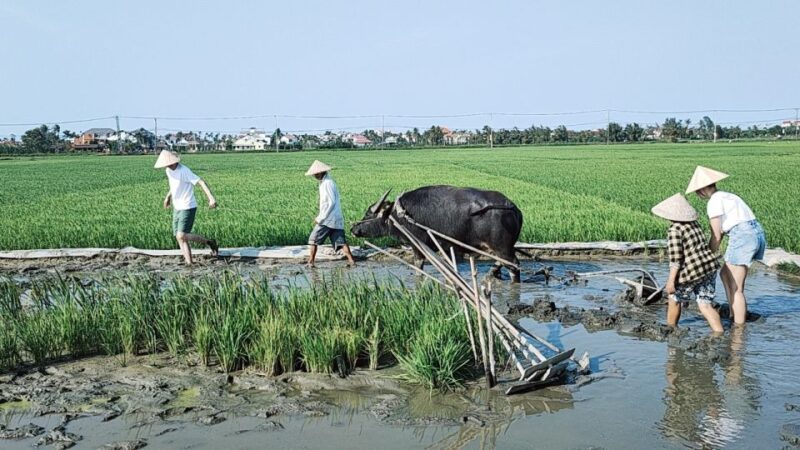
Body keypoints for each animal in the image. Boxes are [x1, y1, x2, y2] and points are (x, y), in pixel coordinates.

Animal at [351, 185, 524, 282]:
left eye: (368, 214)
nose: (353, 229)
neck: (399, 214)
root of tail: (512, 206)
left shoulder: (417, 245)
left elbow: (418, 266)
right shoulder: (448, 248)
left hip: (503, 248)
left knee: (513, 265)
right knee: (502, 263)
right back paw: (491, 274)